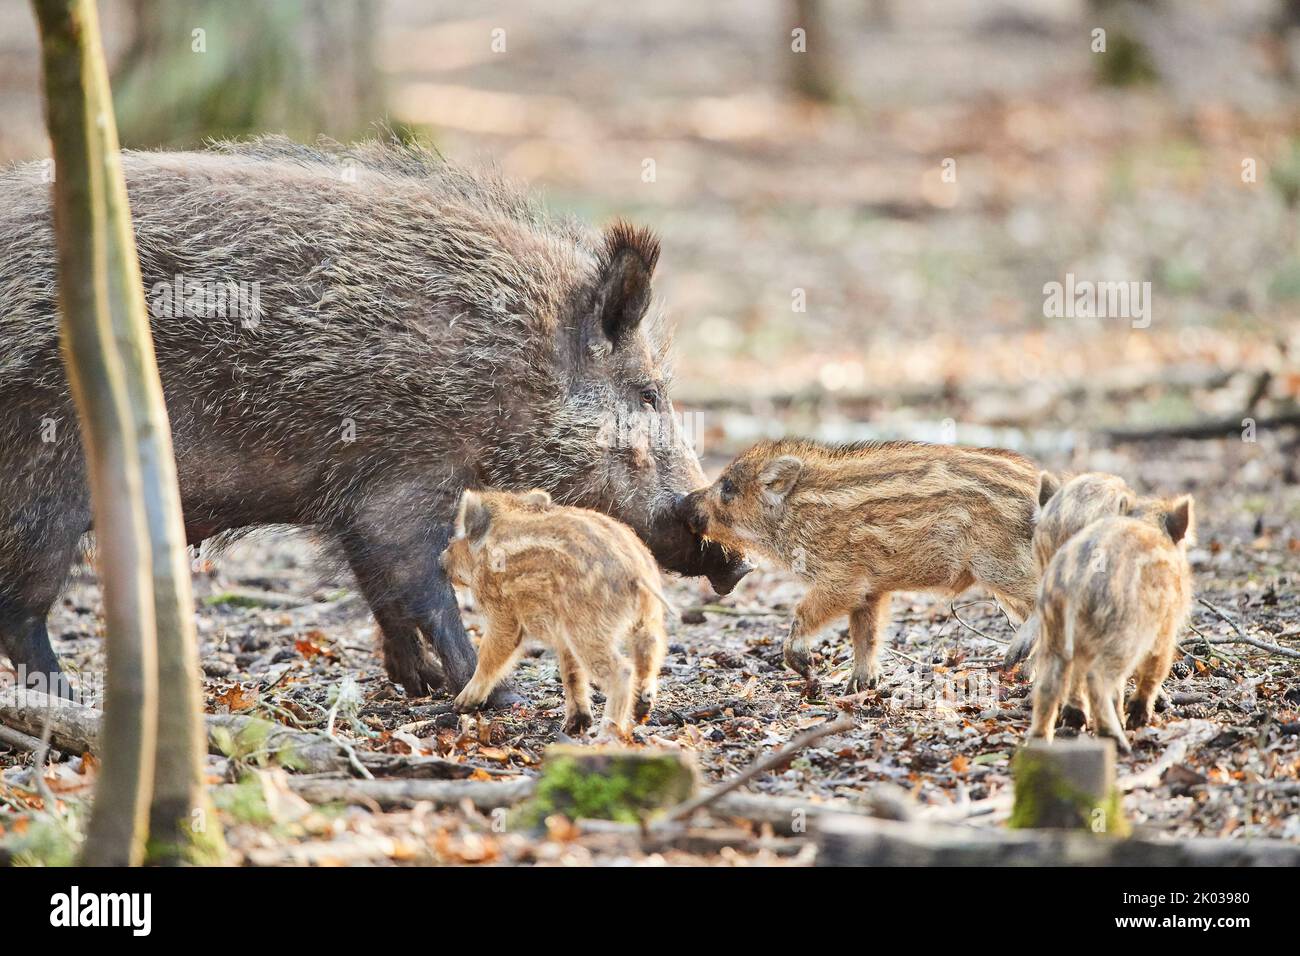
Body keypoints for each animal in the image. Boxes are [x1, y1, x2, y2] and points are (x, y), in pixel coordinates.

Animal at [0, 137, 749, 700]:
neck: (513, 369)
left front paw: (417, 685)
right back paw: (65, 697)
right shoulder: (399, 481)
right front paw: (497, 697)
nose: (734, 561)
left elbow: (385, 594)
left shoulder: (359, 504)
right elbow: (421, 587)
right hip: (48, 476)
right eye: (647, 394)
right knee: (20, 609)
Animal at [441, 488, 669, 736]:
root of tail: (637, 573)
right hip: (647, 619)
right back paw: (641, 708)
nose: (442, 557)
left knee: (623, 671)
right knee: (651, 650)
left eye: (459, 536)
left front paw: (460, 705)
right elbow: (571, 673)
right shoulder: (562, 636)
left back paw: (606, 733)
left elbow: (489, 655)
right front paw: (574, 726)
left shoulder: (504, 615)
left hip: (587, 630)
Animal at [683, 439, 1047, 694]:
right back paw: (1024, 674)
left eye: (728, 487)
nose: (686, 503)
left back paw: (1015, 661)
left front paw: (806, 667)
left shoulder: (842, 579)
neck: (796, 515)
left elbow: (805, 612)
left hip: (1001, 564)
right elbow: (865, 634)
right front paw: (859, 687)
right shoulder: (871, 589)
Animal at [1027, 495, 1195, 753]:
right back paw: (1117, 739)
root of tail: (1074, 583)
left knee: (1048, 685)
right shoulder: (1165, 628)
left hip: (1053, 632)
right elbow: (1155, 669)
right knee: (1096, 678)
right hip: (1124, 636)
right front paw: (1136, 720)